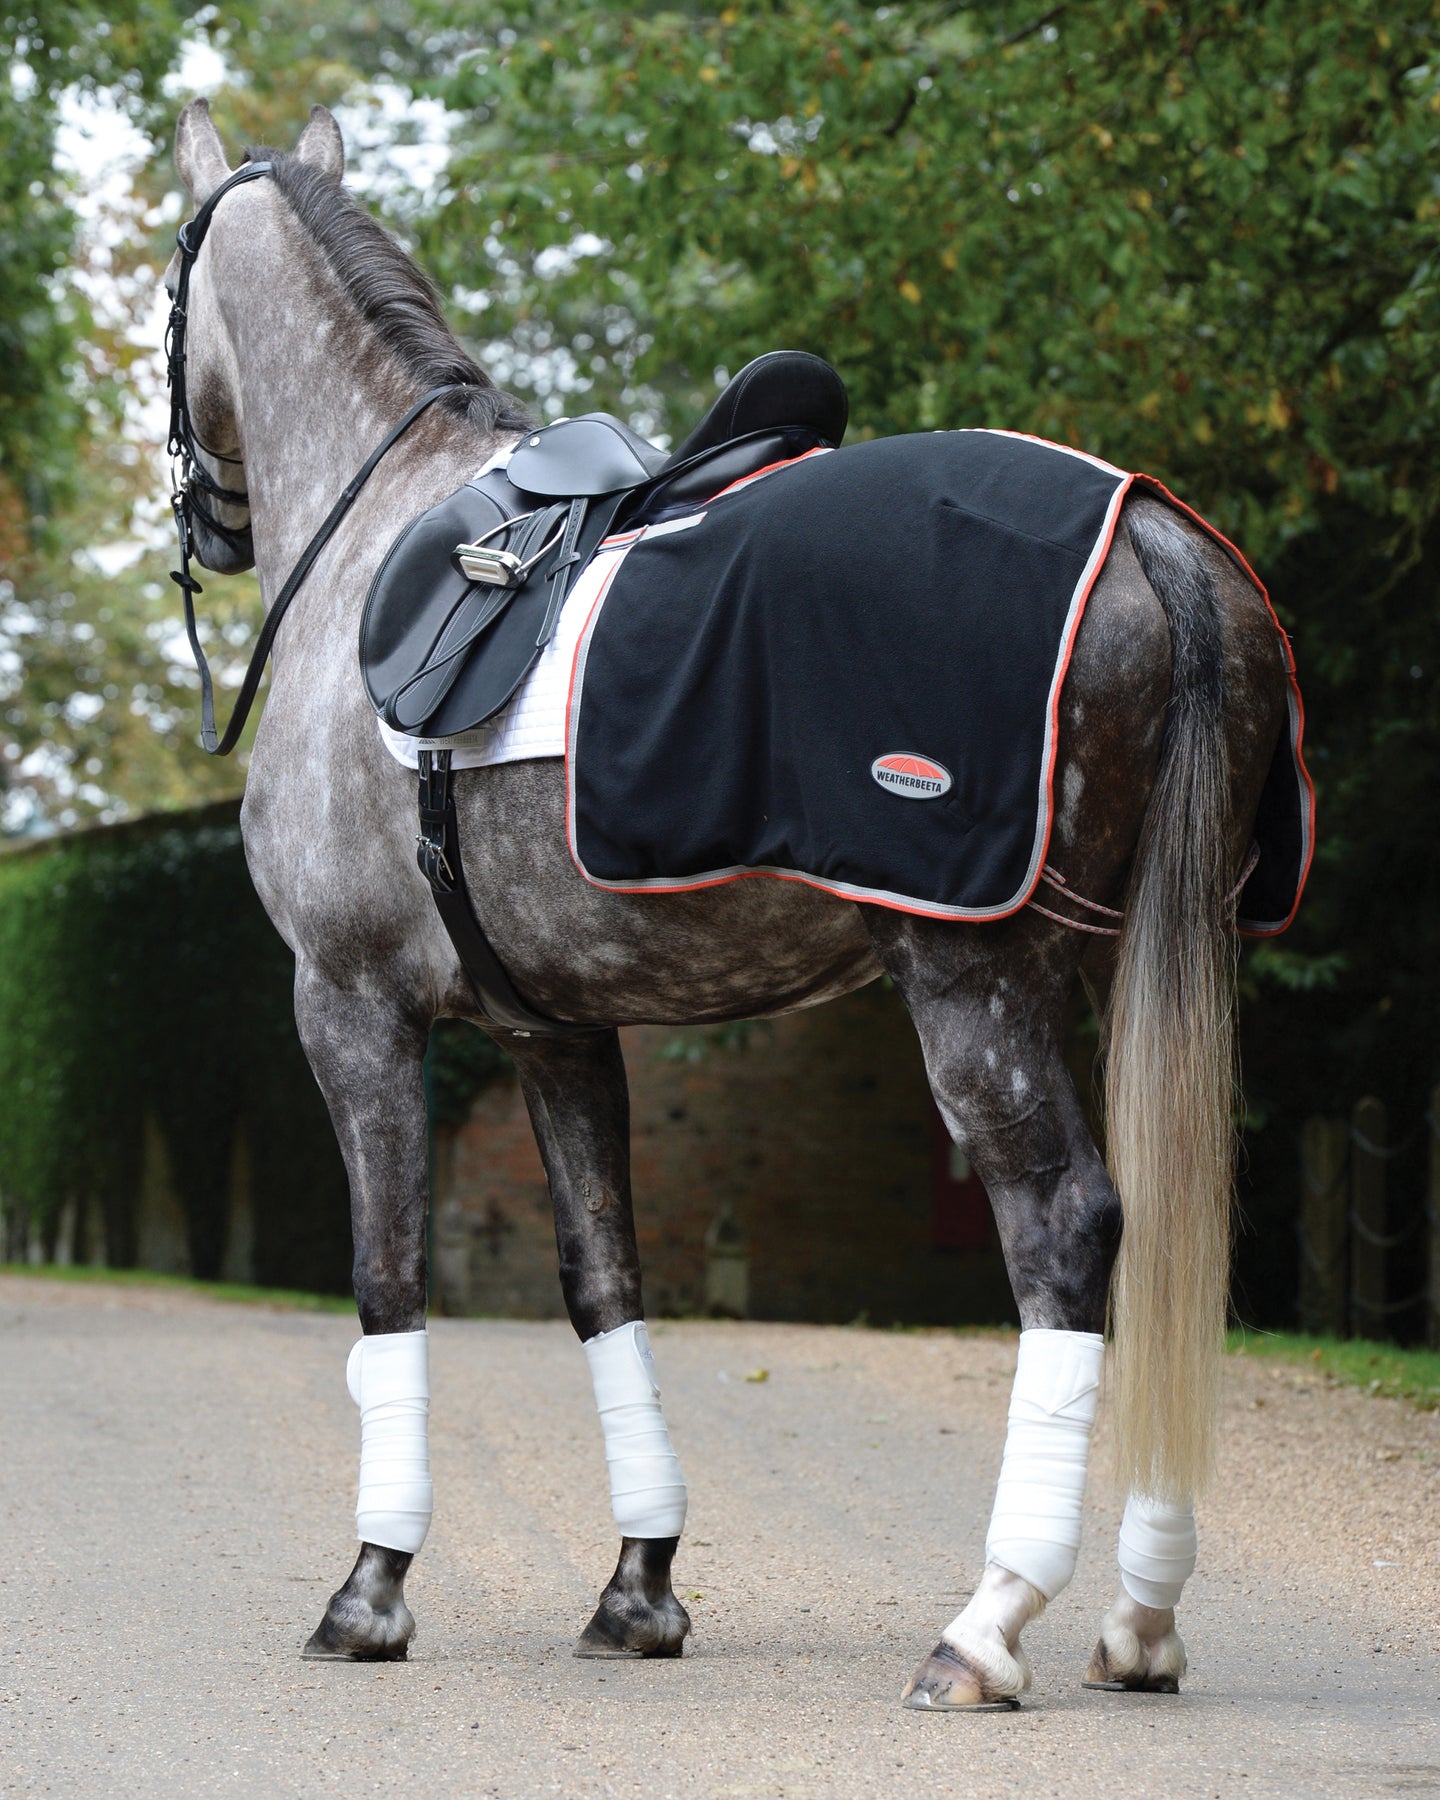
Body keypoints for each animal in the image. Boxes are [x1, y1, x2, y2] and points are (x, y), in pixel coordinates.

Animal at [165, 97, 1306, 1708]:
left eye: (171, 281)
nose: (206, 526)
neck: (381, 527)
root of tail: (1146, 525)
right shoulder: (555, 1032)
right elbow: (603, 1277)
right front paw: (639, 1585)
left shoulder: (349, 1006)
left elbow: (387, 1279)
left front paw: (372, 1588)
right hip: (1136, 962)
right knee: (1165, 1227)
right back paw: (1138, 1621)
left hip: (978, 980)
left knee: (1072, 1224)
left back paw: (988, 1623)